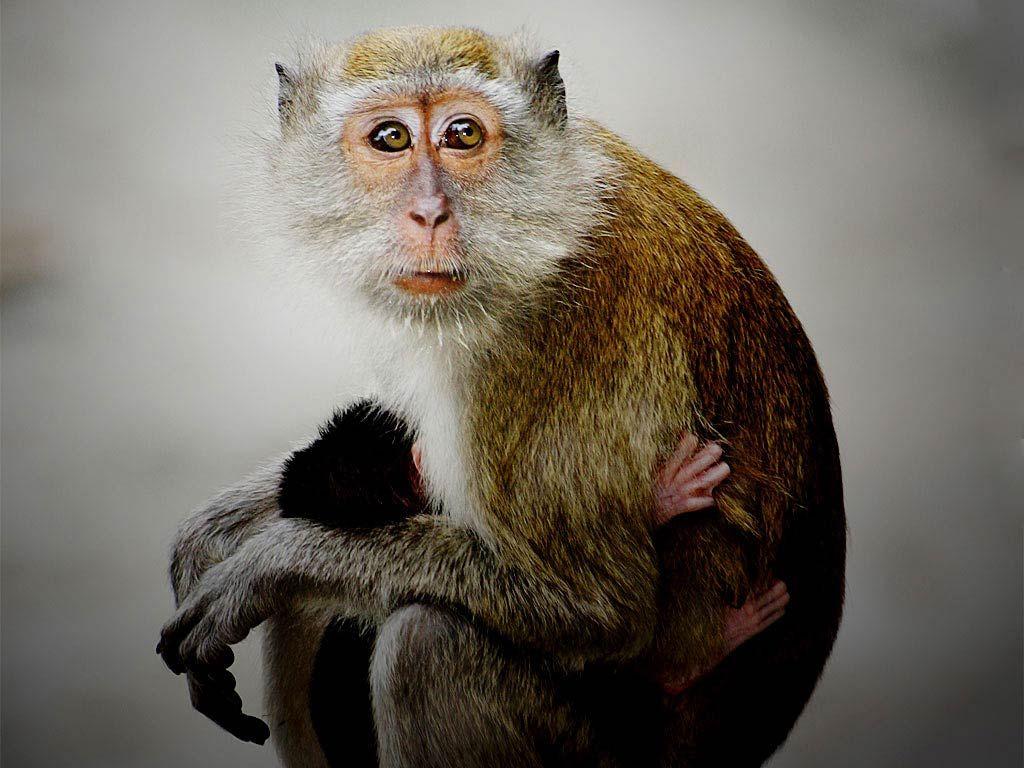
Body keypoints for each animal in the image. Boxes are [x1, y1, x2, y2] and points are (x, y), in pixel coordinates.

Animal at [159, 26, 845, 768]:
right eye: (391, 138)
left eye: (462, 134)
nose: (430, 212)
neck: (546, 230)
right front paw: (213, 534)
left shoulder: (546, 345)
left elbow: (595, 608)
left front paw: (266, 562)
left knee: (423, 646)